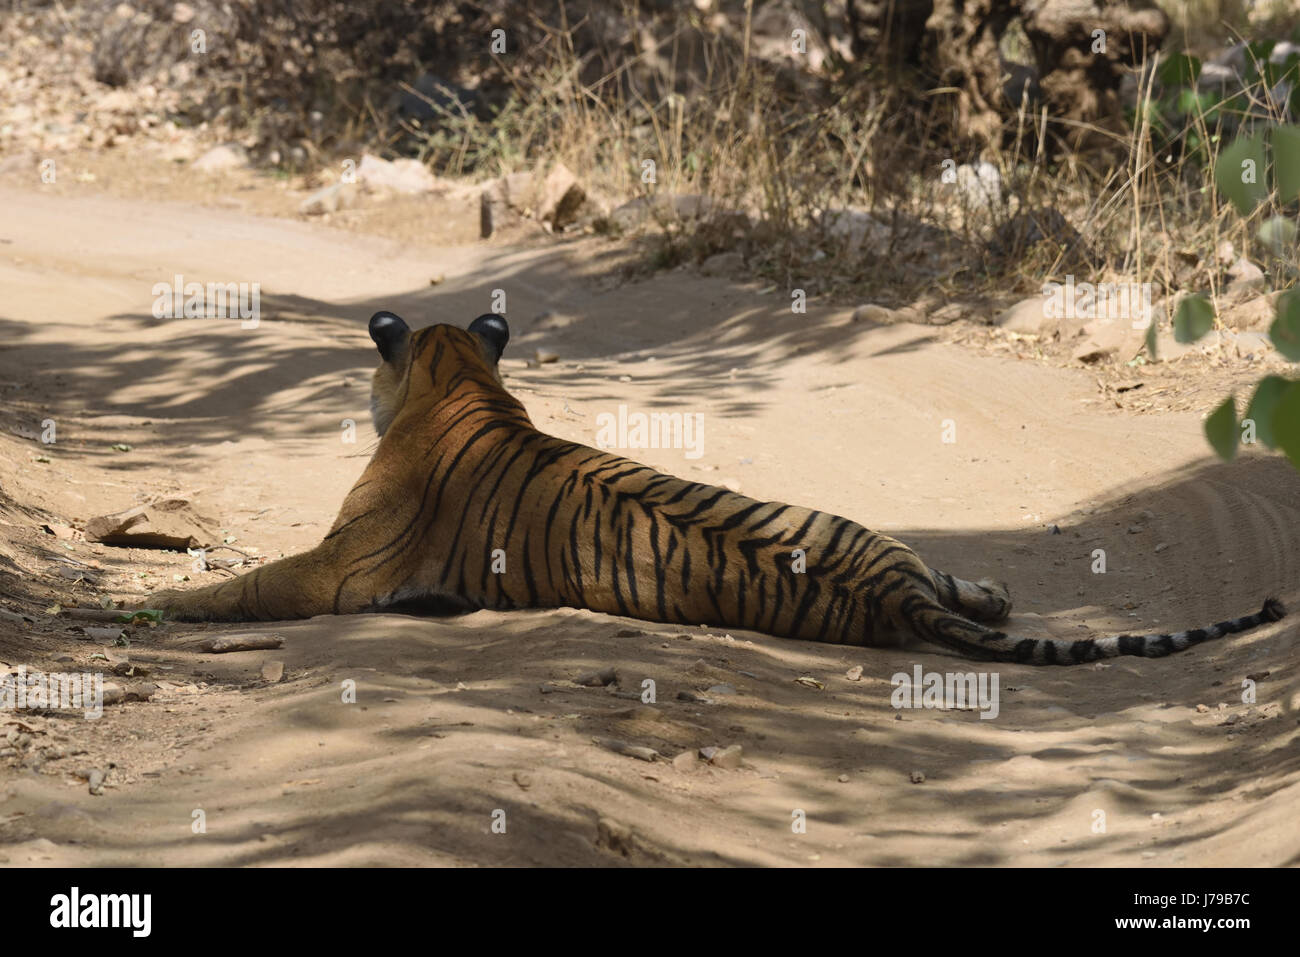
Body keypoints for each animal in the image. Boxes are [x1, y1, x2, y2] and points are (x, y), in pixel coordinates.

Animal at [145, 310, 1288, 665]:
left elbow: (242, 583)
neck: (462, 379)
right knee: (953, 579)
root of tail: (893, 593)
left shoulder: (337, 568)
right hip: (869, 530)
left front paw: (145, 604)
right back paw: (989, 591)